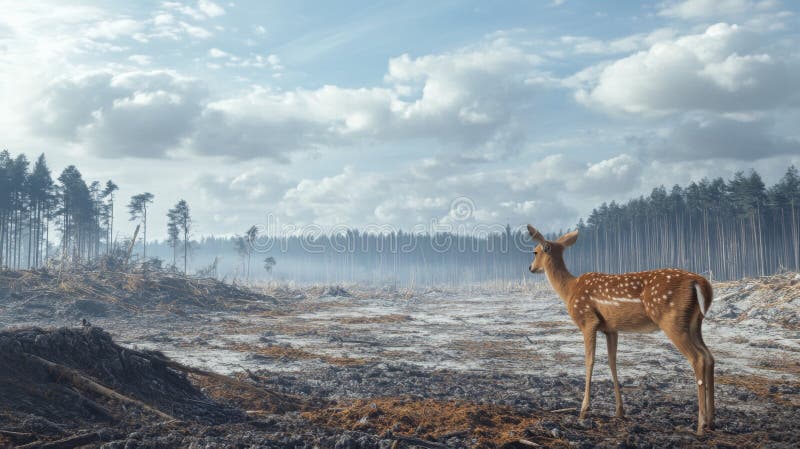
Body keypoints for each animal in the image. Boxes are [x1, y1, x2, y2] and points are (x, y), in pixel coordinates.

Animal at [526, 224, 715, 435]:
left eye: (535, 252)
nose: (531, 268)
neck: (569, 290)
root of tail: (701, 283)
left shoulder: (588, 320)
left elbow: (589, 361)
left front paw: (583, 410)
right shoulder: (611, 328)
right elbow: (612, 362)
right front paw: (619, 411)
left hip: (672, 320)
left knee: (697, 358)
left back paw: (700, 425)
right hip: (695, 322)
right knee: (709, 357)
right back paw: (711, 421)